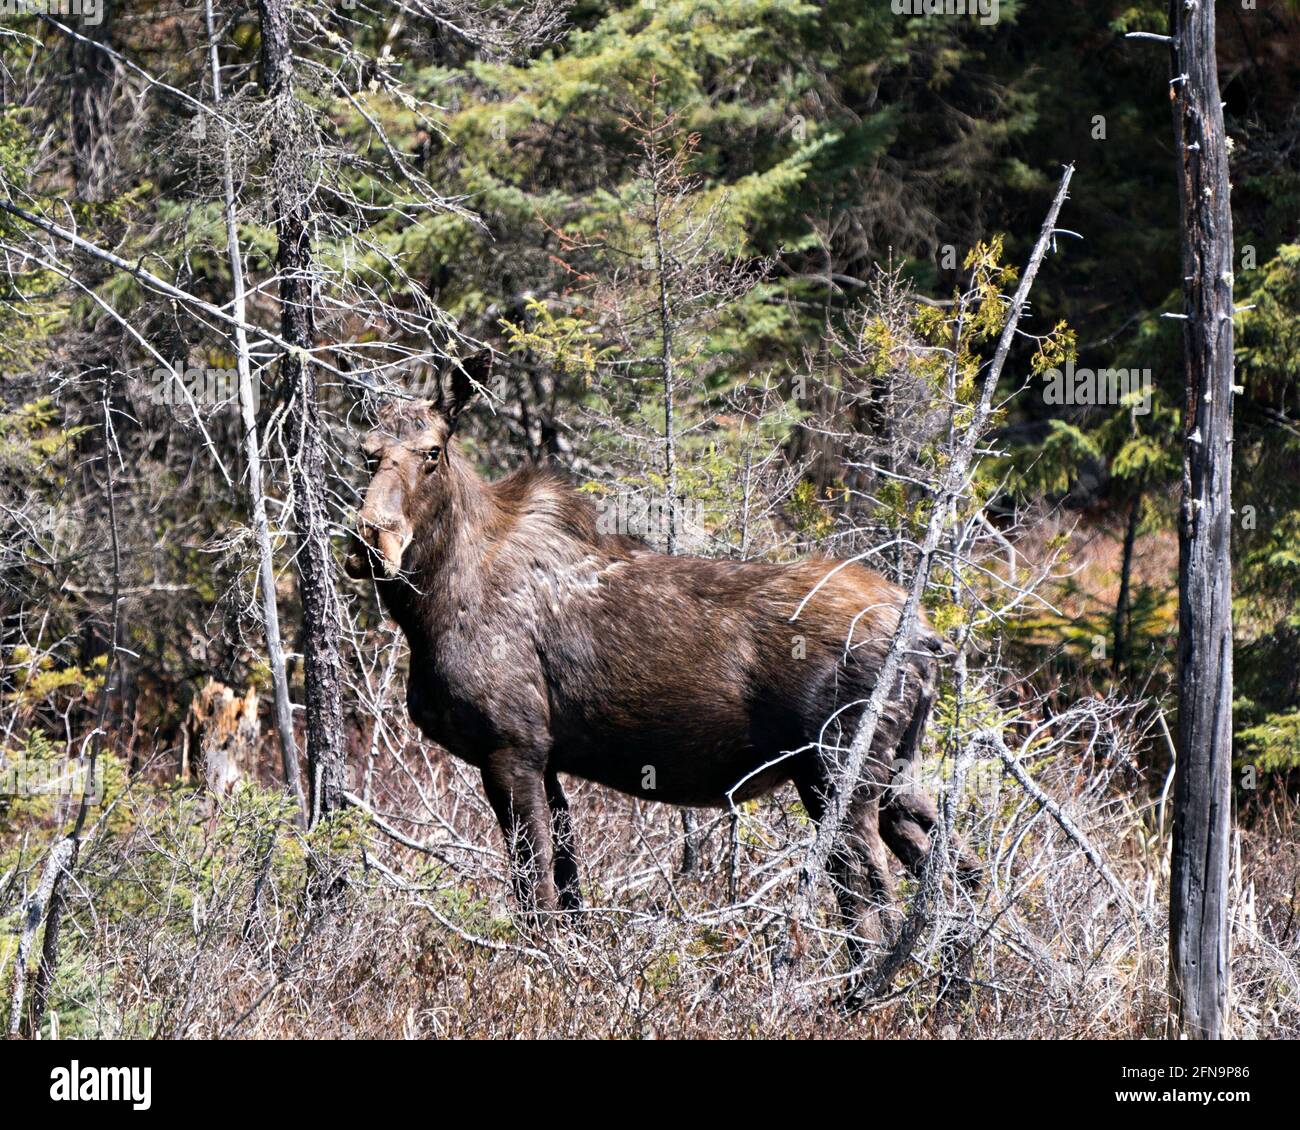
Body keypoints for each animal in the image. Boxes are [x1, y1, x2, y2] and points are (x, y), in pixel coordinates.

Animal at [345, 354, 968, 965]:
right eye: (367, 452)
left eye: (431, 452)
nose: (372, 543)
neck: (427, 609)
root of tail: (927, 638)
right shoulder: (545, 755)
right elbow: (569, 888)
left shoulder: (511, 745)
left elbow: (536, 893)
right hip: (896, 767)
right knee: (954, 869)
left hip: (837, 769)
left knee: (873, 903)